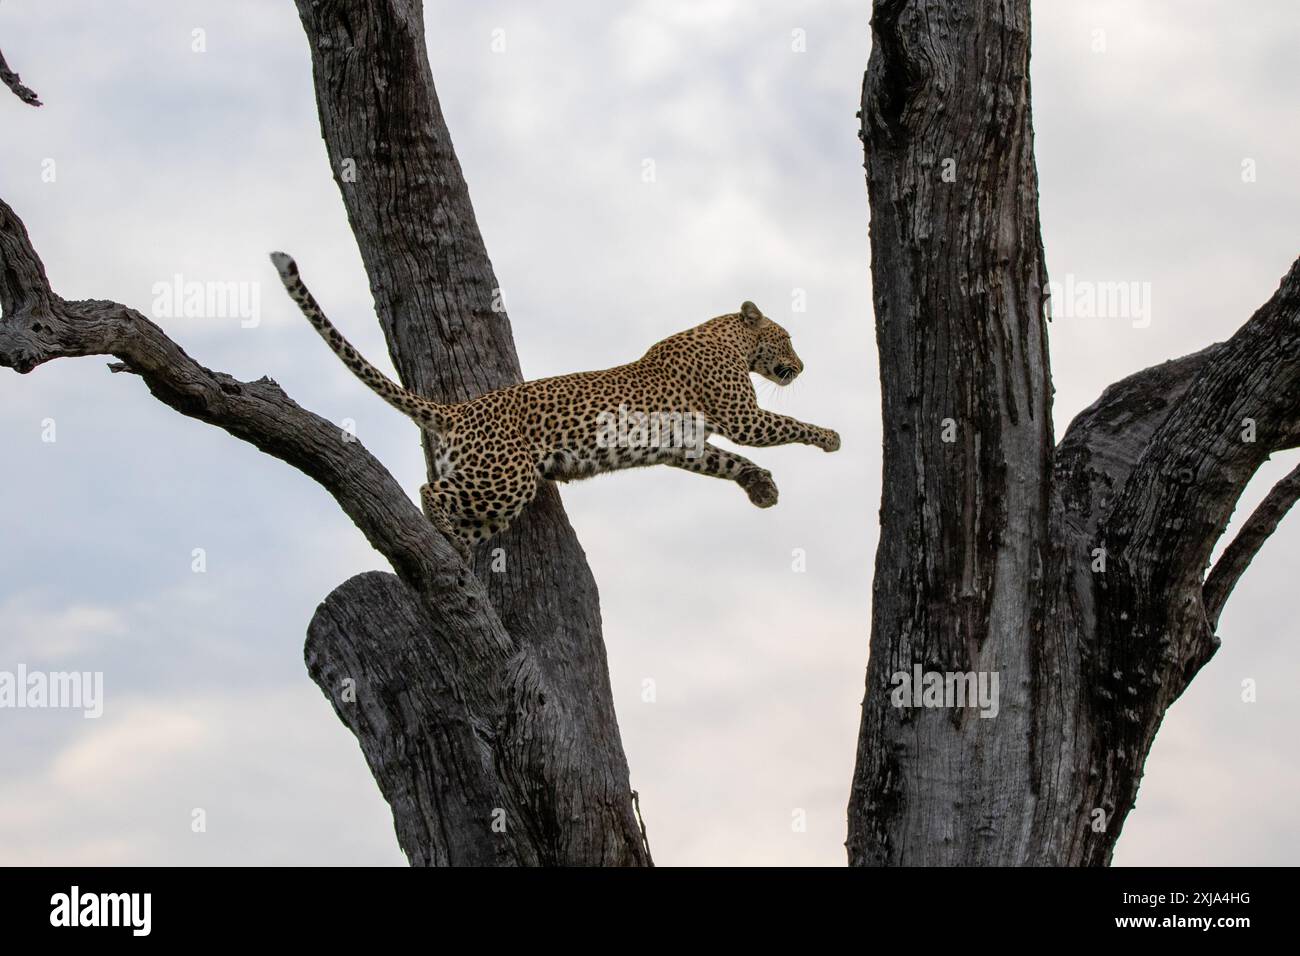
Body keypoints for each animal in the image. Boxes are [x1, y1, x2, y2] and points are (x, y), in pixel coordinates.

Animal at [270, 252, 841, 560]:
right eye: (786, 338)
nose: (803, 365)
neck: (727, 336)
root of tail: (460, 411)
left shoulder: (688, 445)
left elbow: (731, 462)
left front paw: (762, 487)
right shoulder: (743, 416)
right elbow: (786, 425)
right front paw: (832, 438)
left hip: (494, 492)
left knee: (463, 517)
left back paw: (457, 550)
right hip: (504, 478)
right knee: (430, 490)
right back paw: (444, 534)